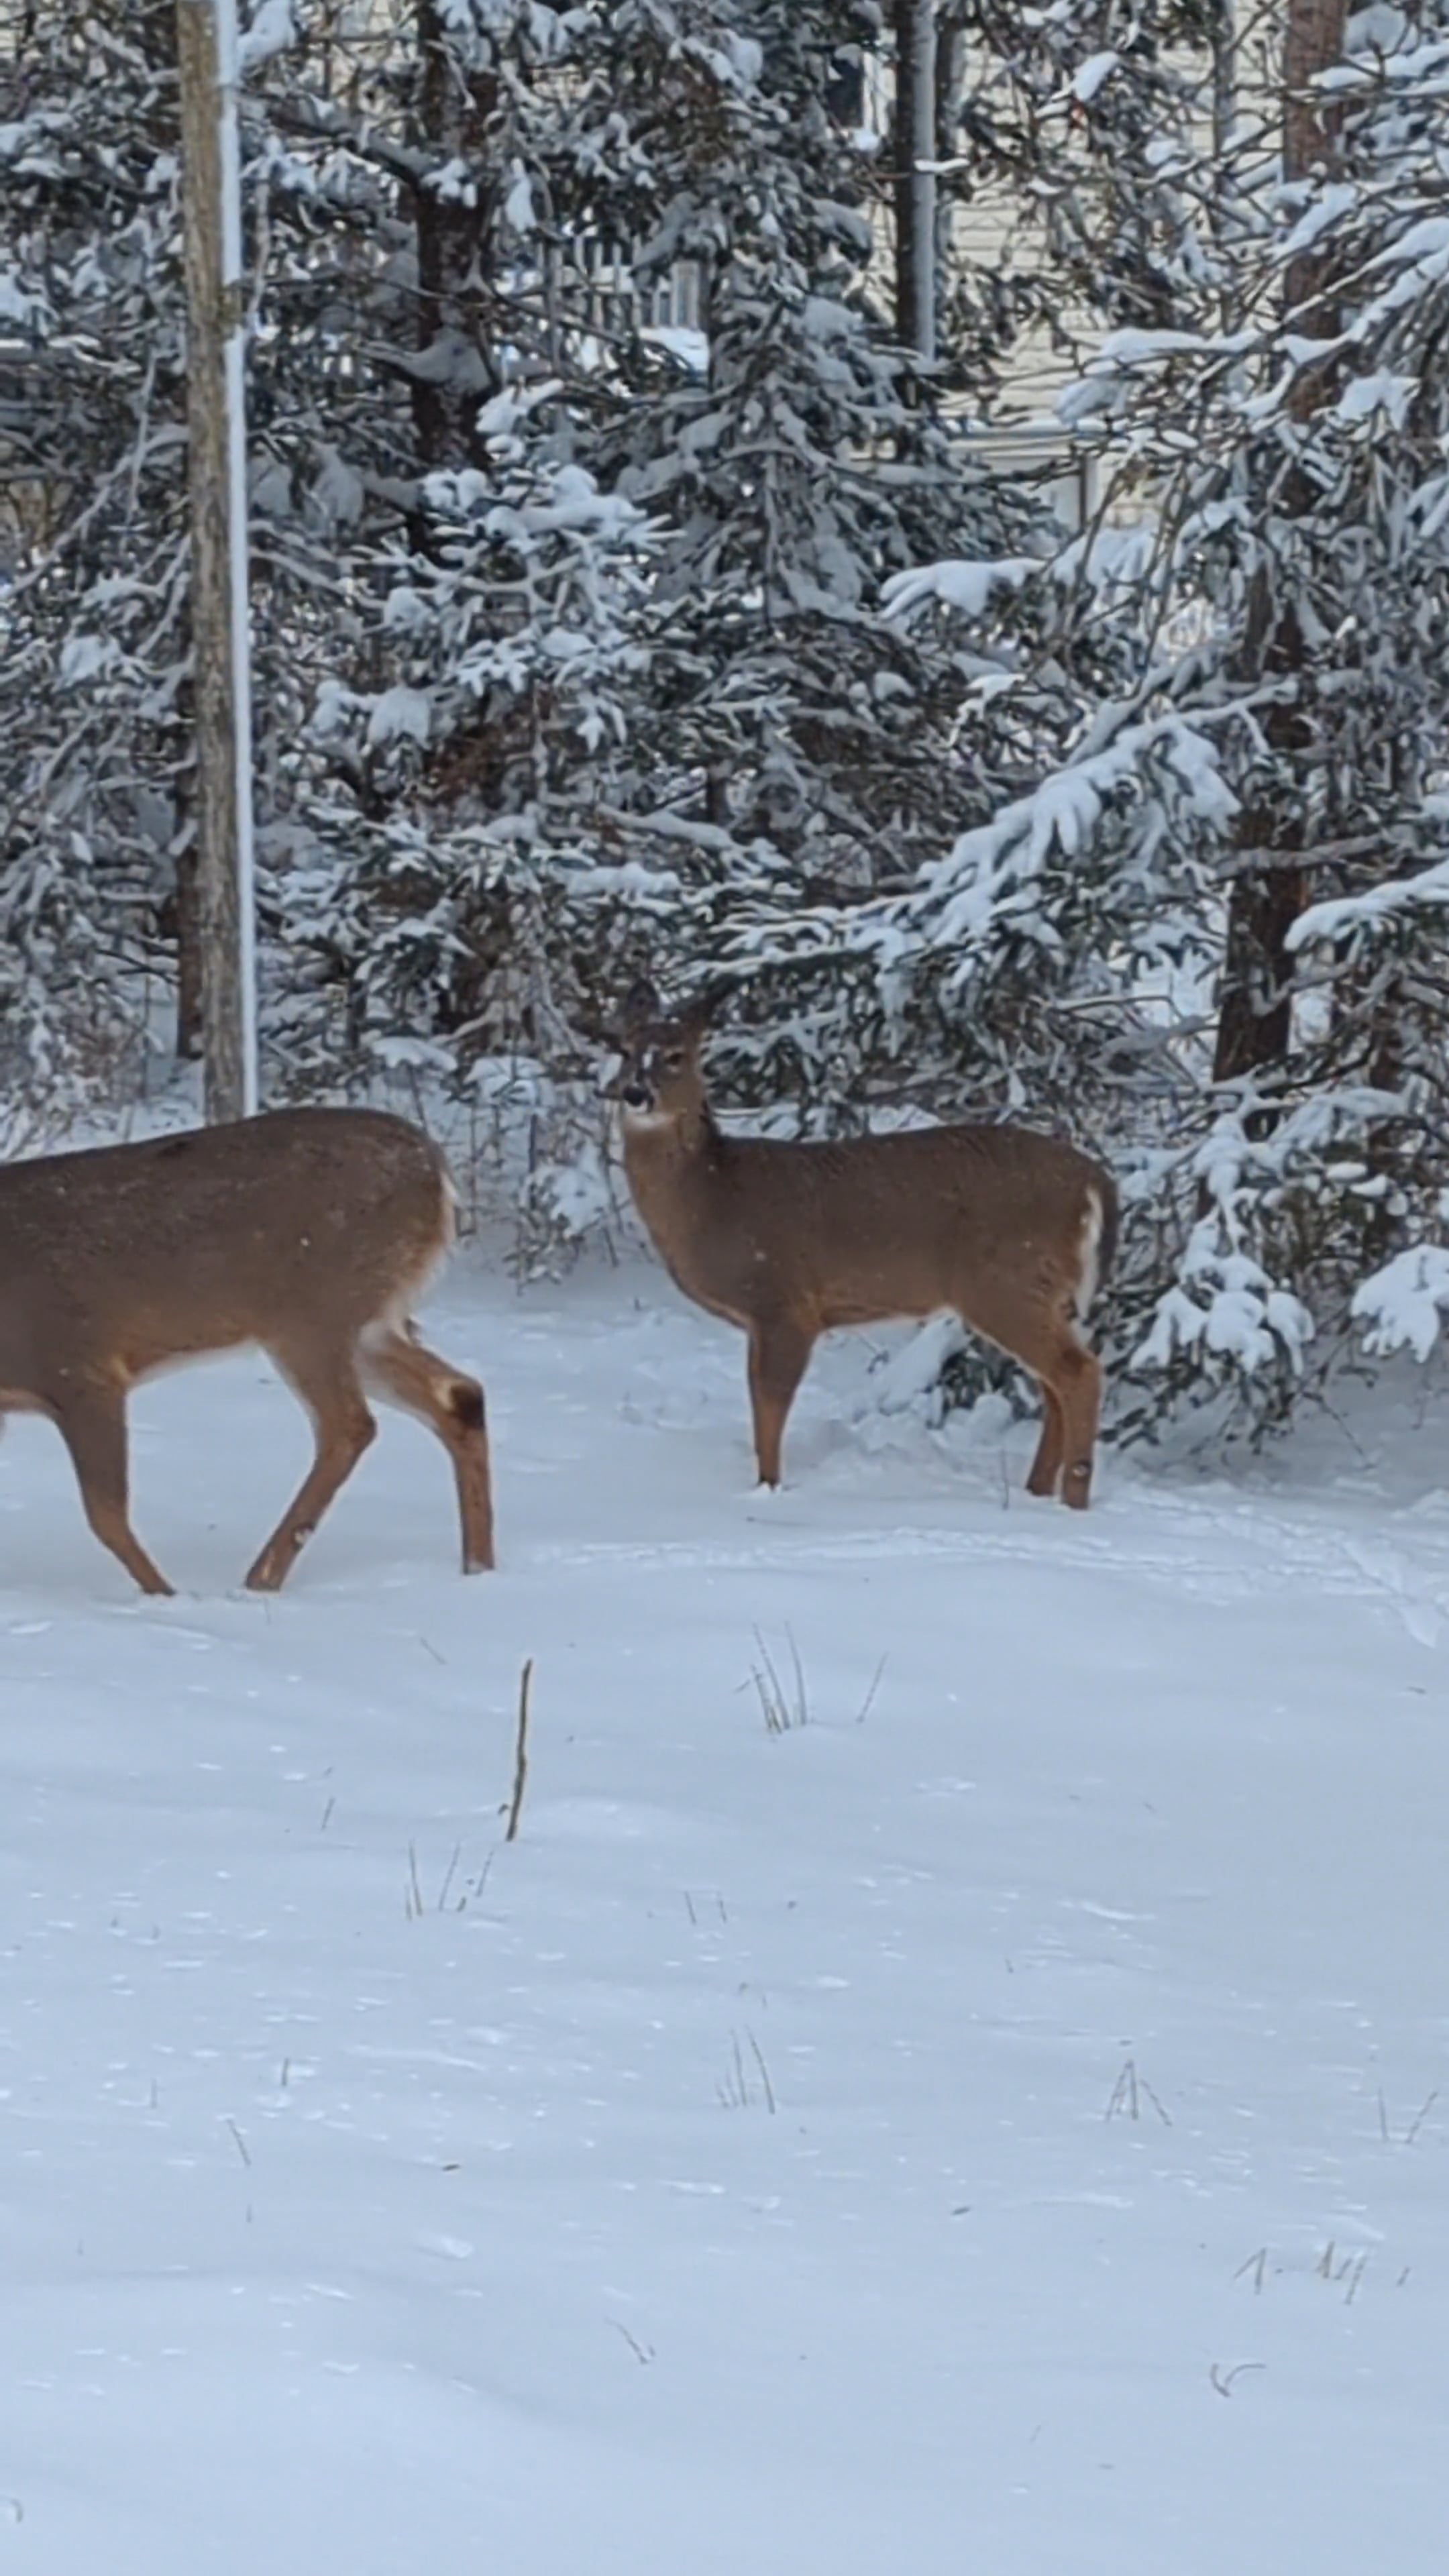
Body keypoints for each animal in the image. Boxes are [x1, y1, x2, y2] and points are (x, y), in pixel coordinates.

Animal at [0, 1107, 494, 1596]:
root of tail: (435, 1169)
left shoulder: (81, 1365)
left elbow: (105, 1517)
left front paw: (168, 1597)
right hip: (366, 1325)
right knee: (459, 1394)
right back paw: (479, 1567)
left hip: (313, 1313)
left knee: (350, 1426)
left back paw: (260, 1579)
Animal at [610, 978, 1118, 1507]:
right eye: (623, 1049)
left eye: (676, 1055)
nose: (634, 1093)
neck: (714, 1197)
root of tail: (1097, 1184)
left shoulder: (785, 1303)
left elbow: (769, 1406)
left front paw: (768, 1487)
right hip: (1039, 1292)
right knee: (1053, 1385)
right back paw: (1036, 1492)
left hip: (1007, 1282)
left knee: (1079, 1373)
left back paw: (1073, 1500)